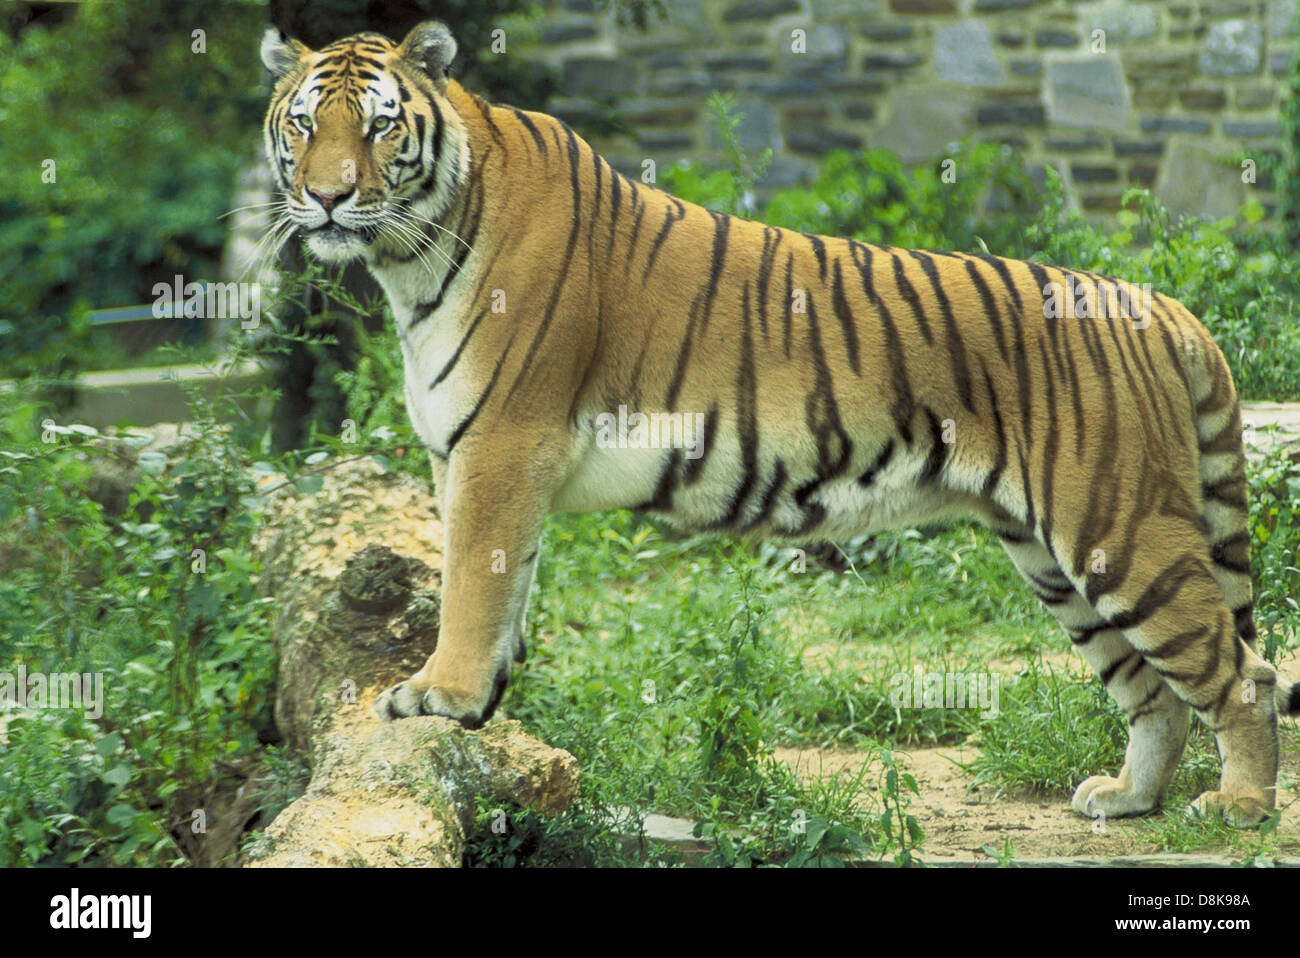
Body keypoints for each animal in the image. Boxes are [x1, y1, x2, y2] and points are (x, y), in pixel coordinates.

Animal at [259, 20, 1297, 825]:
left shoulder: (501, 445)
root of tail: (1155, 302)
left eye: (379, 125)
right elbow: (505, 587)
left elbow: (472, 584)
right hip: (1055, 557)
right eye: (305, 123)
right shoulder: (480, 459)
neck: (413, 255)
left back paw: (1238, 807)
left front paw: (441, 695)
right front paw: (483, 707)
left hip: (1121, 530)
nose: (328, 195)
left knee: (1242, 673)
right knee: (1153, 691)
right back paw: (1128, 799)